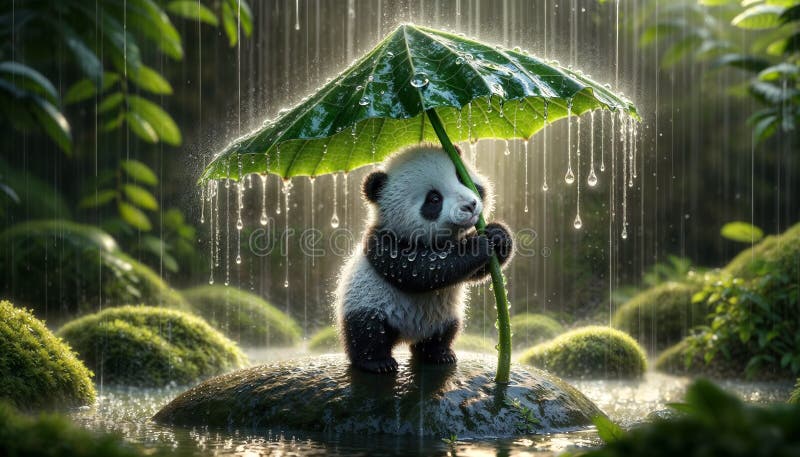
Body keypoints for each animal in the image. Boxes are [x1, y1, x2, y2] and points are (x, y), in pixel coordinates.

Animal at [334, 144, 513, 373]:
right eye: (434, 199)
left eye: (461, 178)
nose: (471, 205)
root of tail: (407, 335)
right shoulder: (383, 241)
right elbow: (421, 270)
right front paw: (479, 245)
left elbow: (474, 273)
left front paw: (498, 235)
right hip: (367, 302)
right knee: (366, 330)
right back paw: (378, 362)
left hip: (445, 315)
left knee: (444, 332)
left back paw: (438, 354)